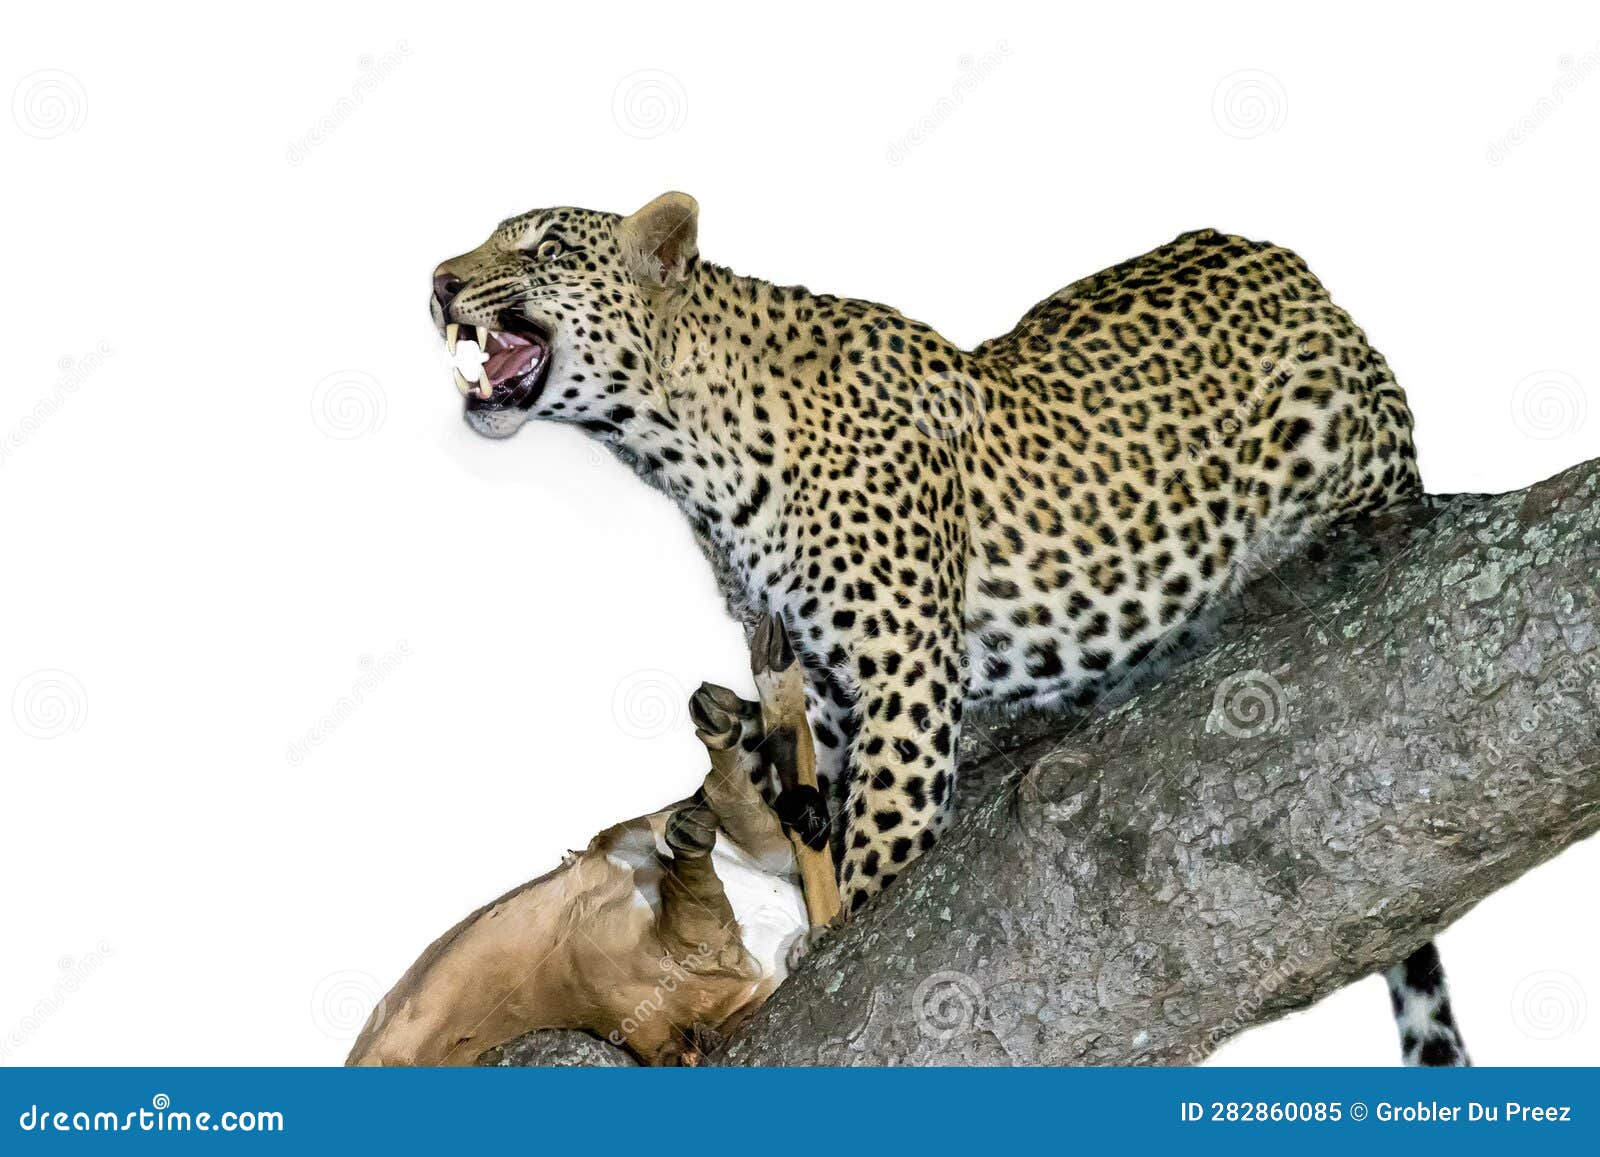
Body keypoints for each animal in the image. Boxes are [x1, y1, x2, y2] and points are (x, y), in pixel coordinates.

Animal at [430, 192, 1467, 1065]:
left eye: (541, 245)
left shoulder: (904, 665)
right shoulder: (820, 680)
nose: (437, 281)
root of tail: (1304, 274)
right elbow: (821, 804)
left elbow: (883, 828)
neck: (685, 448)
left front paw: (841, 931)